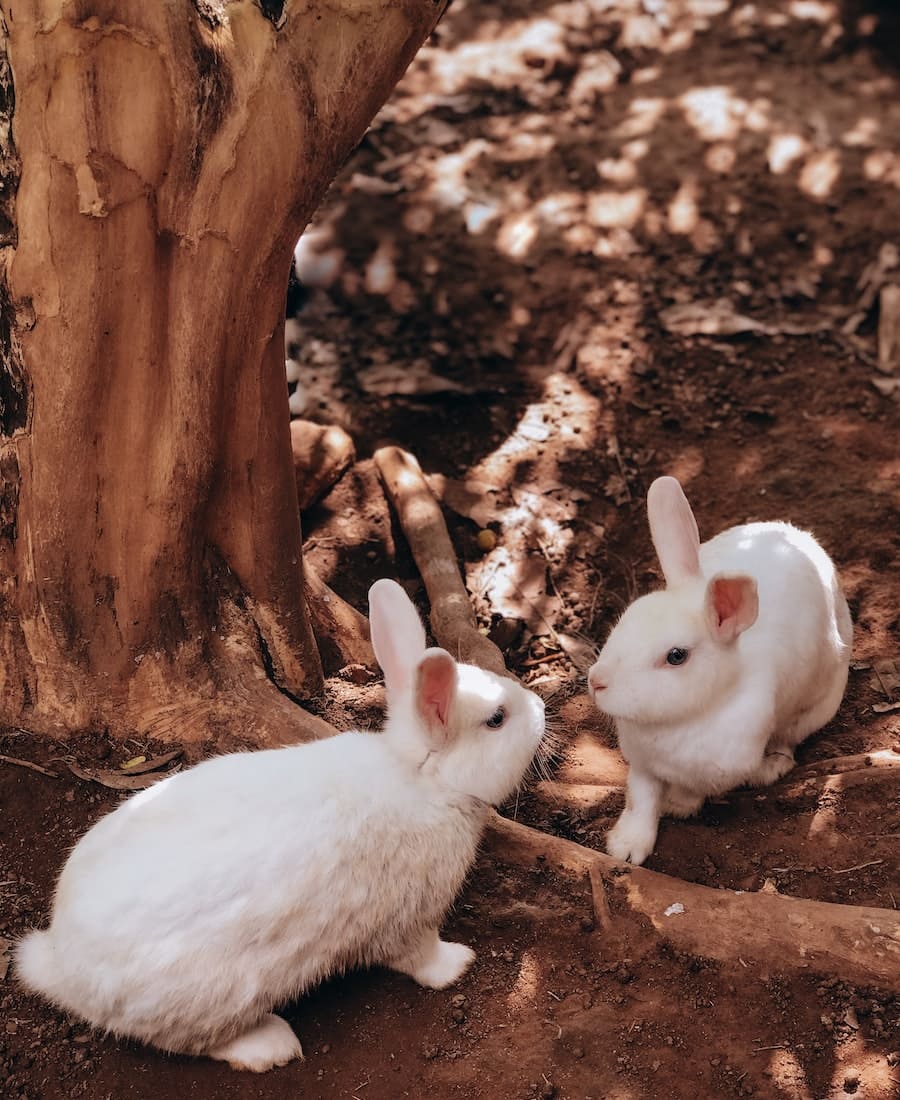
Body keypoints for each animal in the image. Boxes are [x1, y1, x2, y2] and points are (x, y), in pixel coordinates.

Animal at [16, 578, 545, 1072]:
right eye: (497, 719)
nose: (540, 708)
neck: (423, 781)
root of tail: (59, 966)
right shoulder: (410, 918)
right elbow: (420, 959)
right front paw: (459, 963)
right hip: (215, 998)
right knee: (193, 1041)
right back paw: (270, 1046)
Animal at [587, 476, 852, 866]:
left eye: (676, 656)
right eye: (625, 620)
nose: (597, 682)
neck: (684, 720)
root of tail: (801, 537)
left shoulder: (712, 772)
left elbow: (687, 792)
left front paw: (677, 805)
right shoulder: (642, 766)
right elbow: (640, 800)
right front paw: (626, 847)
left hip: (815, 706)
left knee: (788, 737)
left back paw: (772, 766)